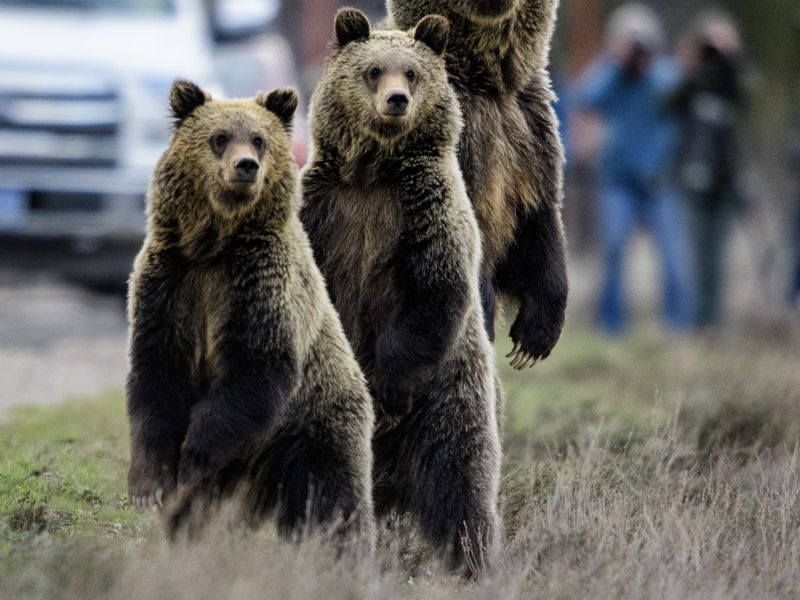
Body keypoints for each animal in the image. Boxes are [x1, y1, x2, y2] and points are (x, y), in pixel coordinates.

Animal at [125, 80, 375, 547]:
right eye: (220, 137)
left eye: (259, 139)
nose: (246, 166)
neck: (214, 244)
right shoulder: (169, 284)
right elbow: (154, 375)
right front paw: (150, 482)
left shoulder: (259, 288)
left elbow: (256, 371)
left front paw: (192, 458)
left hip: (314, 429)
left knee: (333, 501)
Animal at [300, 9, 502, 575]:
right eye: (373, 70)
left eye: (411, 72)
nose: (396, 100)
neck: (374, 173)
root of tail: (390, 475)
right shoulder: (325, 209)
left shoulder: (426, 211)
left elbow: (434, 291)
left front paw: (387, 382)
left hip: (448, 401)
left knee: (460, 487)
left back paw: (475, 563)